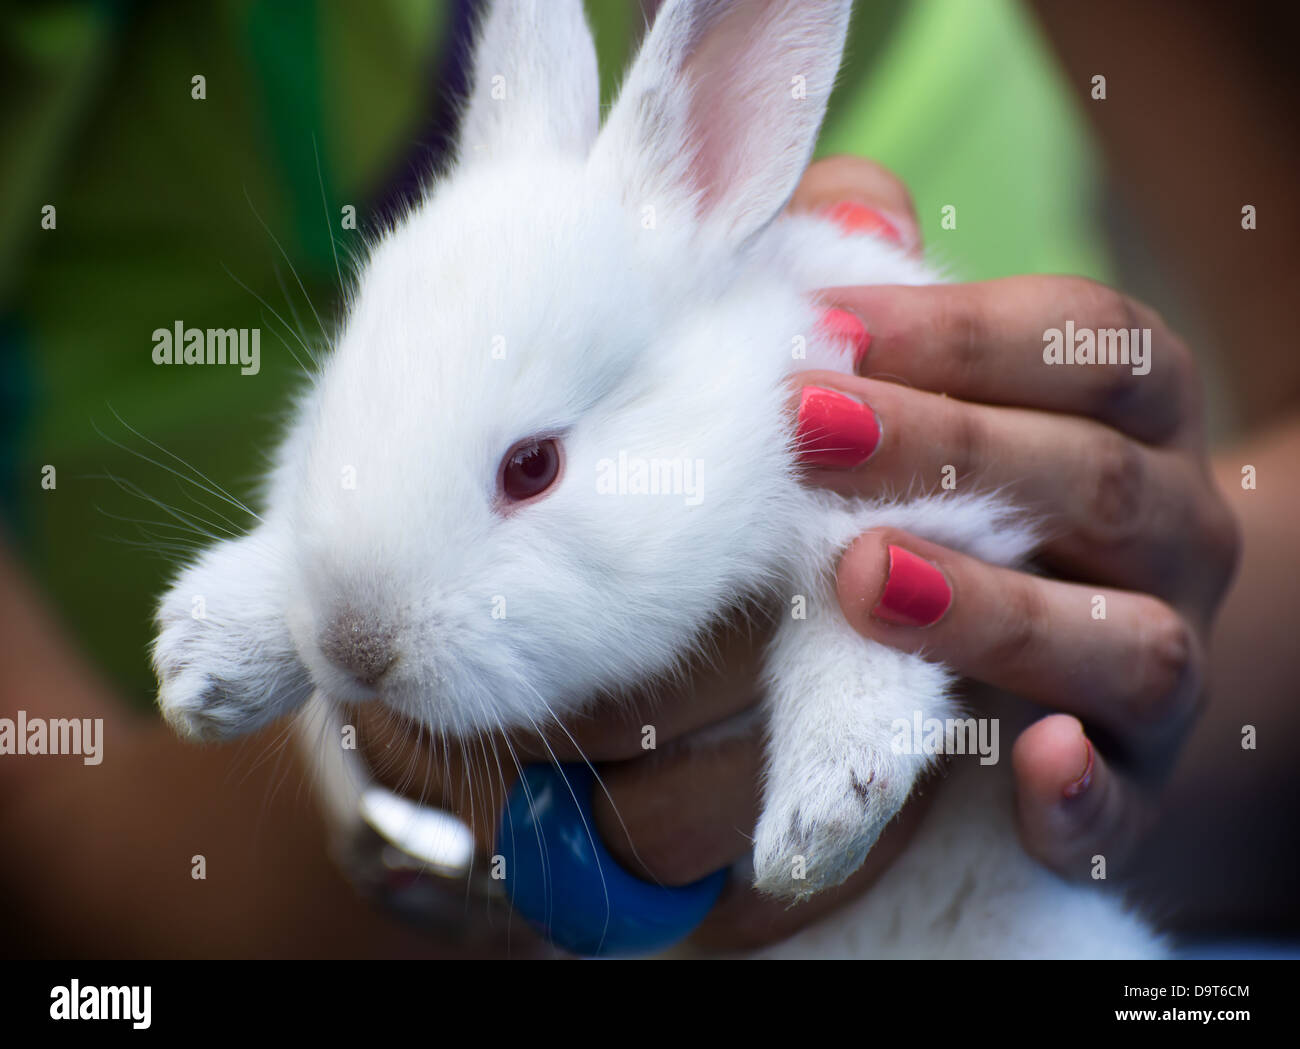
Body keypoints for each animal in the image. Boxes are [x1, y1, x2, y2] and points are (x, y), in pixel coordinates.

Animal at [152, 0, 1162, 958]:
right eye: (339, 395)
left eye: (533, 467)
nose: (359, 648)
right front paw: (204, 664)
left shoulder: (918, 521)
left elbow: (865, 638)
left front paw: (818, 823)